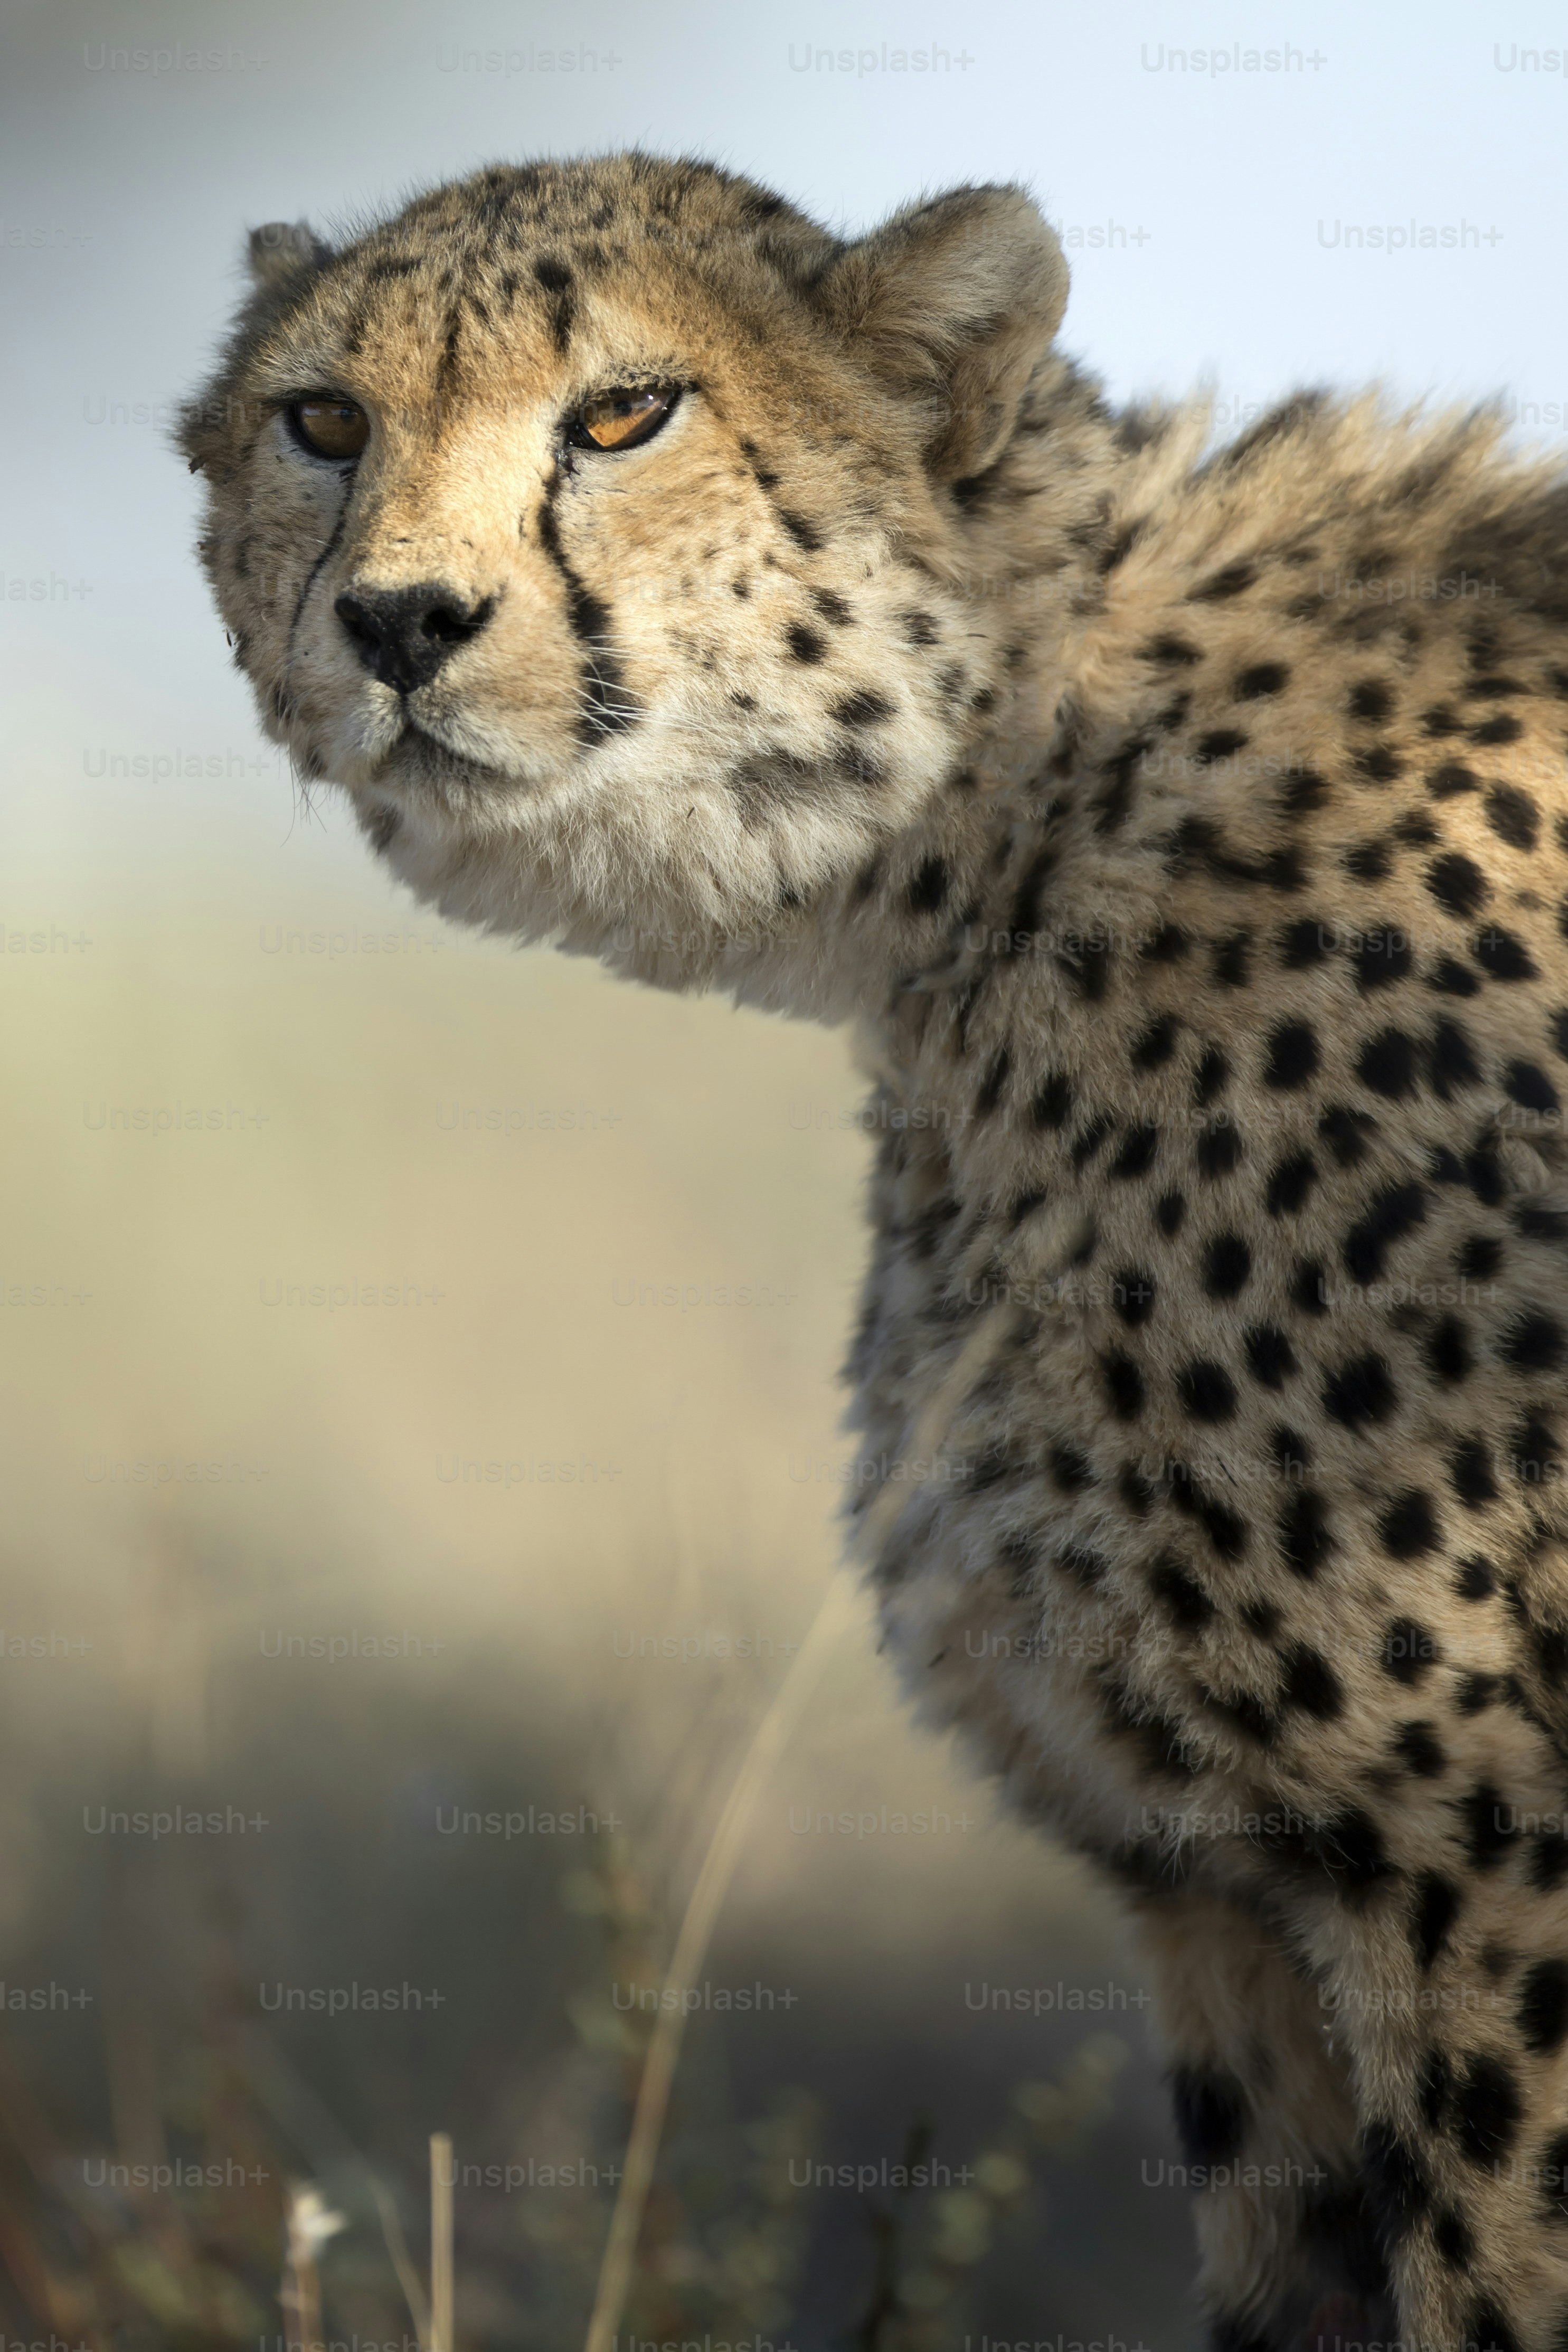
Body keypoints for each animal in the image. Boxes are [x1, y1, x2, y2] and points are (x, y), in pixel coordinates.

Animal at [182, 151, 1568, 2352]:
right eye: (322, 419)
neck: (1014, 818)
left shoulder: (1476, 1852)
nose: (398, 621)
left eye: (624, 415)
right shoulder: (1225, 1889)